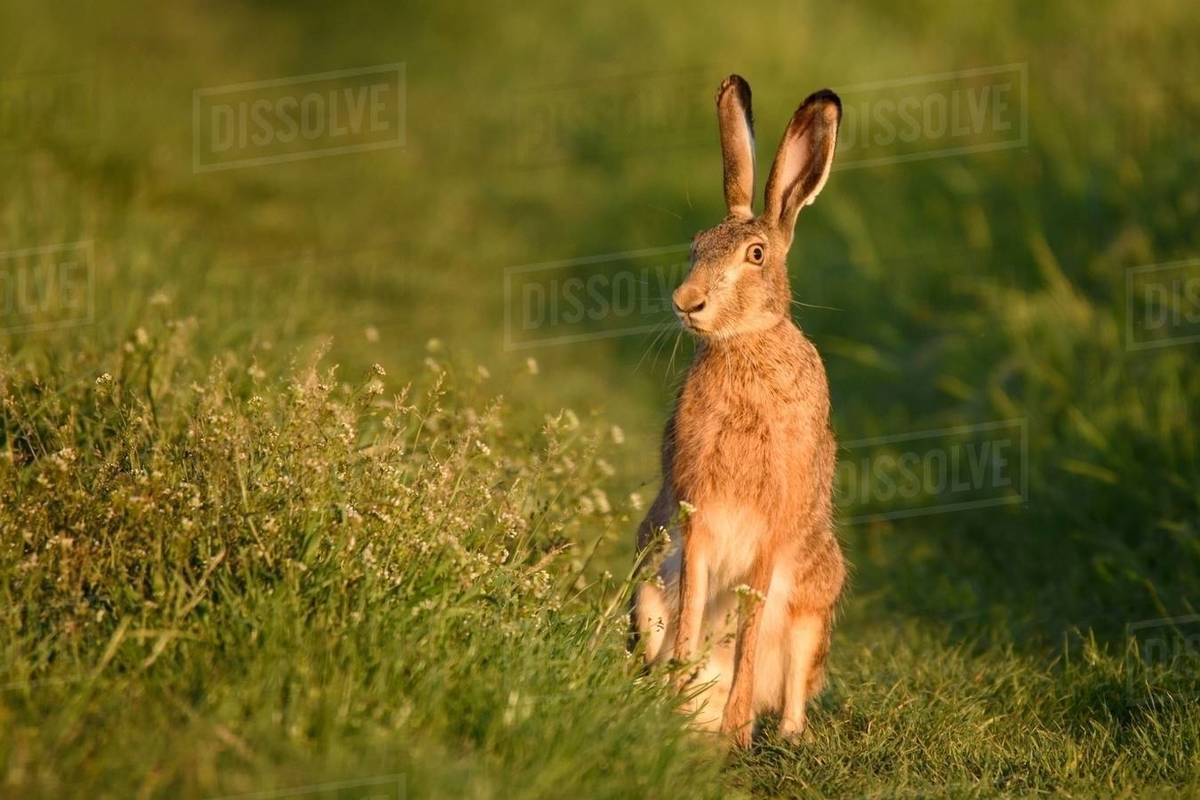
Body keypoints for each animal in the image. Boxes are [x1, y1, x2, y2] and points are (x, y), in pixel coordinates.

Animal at [631, 75, 846, 748]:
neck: (744, 343)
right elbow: (696, 609)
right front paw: (685, 696)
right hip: (648, 584)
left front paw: (739, 727)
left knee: (795, 677)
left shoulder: (773, 531)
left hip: (812, 606)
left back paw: (773, 732)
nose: (686, 302)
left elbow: (751, 622)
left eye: (755, 255)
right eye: (695, 246)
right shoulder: (696, 516)